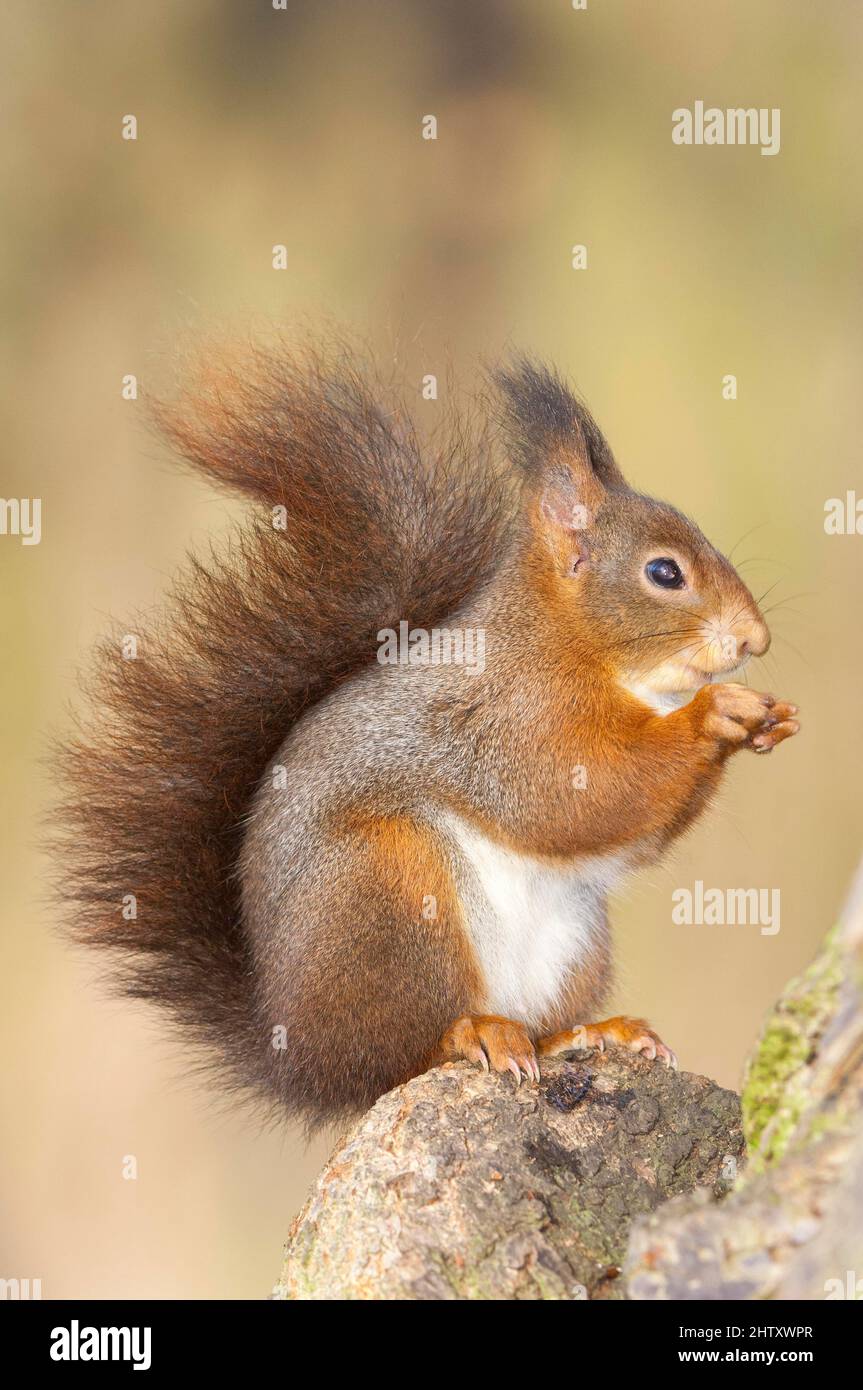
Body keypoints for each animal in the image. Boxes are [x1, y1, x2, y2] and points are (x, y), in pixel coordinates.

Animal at [57, 336, 800, 1126]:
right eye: (664, 573)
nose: (755, 639)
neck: (570, 644)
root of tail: (298, 1058)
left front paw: (768, 718)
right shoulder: (509, 720)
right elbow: (575, 796)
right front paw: (715, 713)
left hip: (574, 940)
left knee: (526, 1029)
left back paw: (590, 1033)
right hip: (389, 890)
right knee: (400, 1056)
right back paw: (473, 1033)